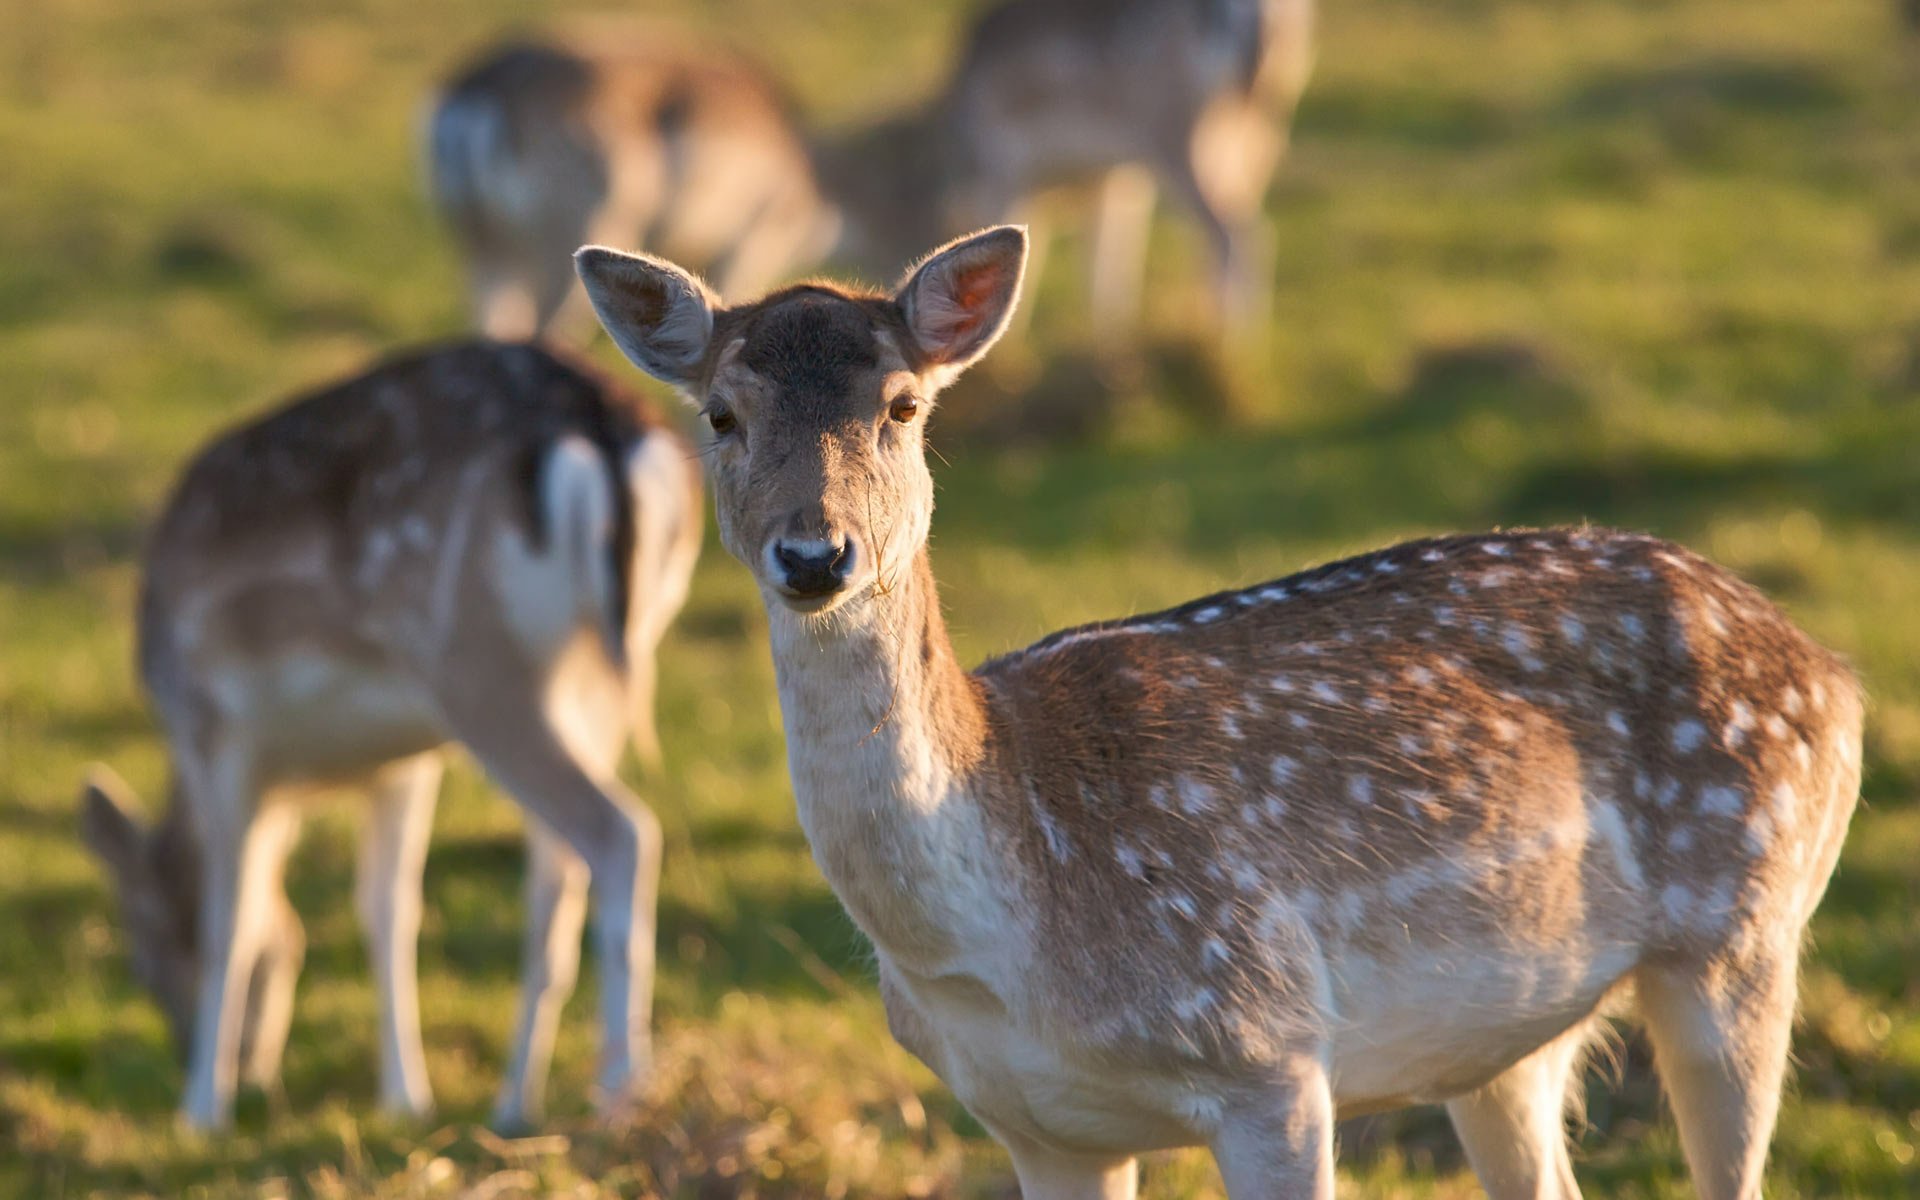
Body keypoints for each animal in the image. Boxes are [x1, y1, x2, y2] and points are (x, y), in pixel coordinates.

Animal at [79, 340, 702, 1133]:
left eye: (142, 948)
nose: (215, 1056)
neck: (299, 781)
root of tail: (602, 427)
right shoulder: (400, 761)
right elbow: (387, 910)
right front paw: (405, 1097)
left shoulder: (213, 730)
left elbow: (234, 920)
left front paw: (201, 1112)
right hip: (604, 666)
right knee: (556, 874)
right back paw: (513, 1102)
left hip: (473, 660)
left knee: (621, 832)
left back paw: (620, 1091)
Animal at [574, 225, 1864, 1199]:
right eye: (721, 414)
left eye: (901, 406)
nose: (814, 554)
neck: (1003, 935)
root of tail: (1836, 673)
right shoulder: (1037, 1126)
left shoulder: (1270, 1053)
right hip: (1508, 1034)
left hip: (1746, 930)